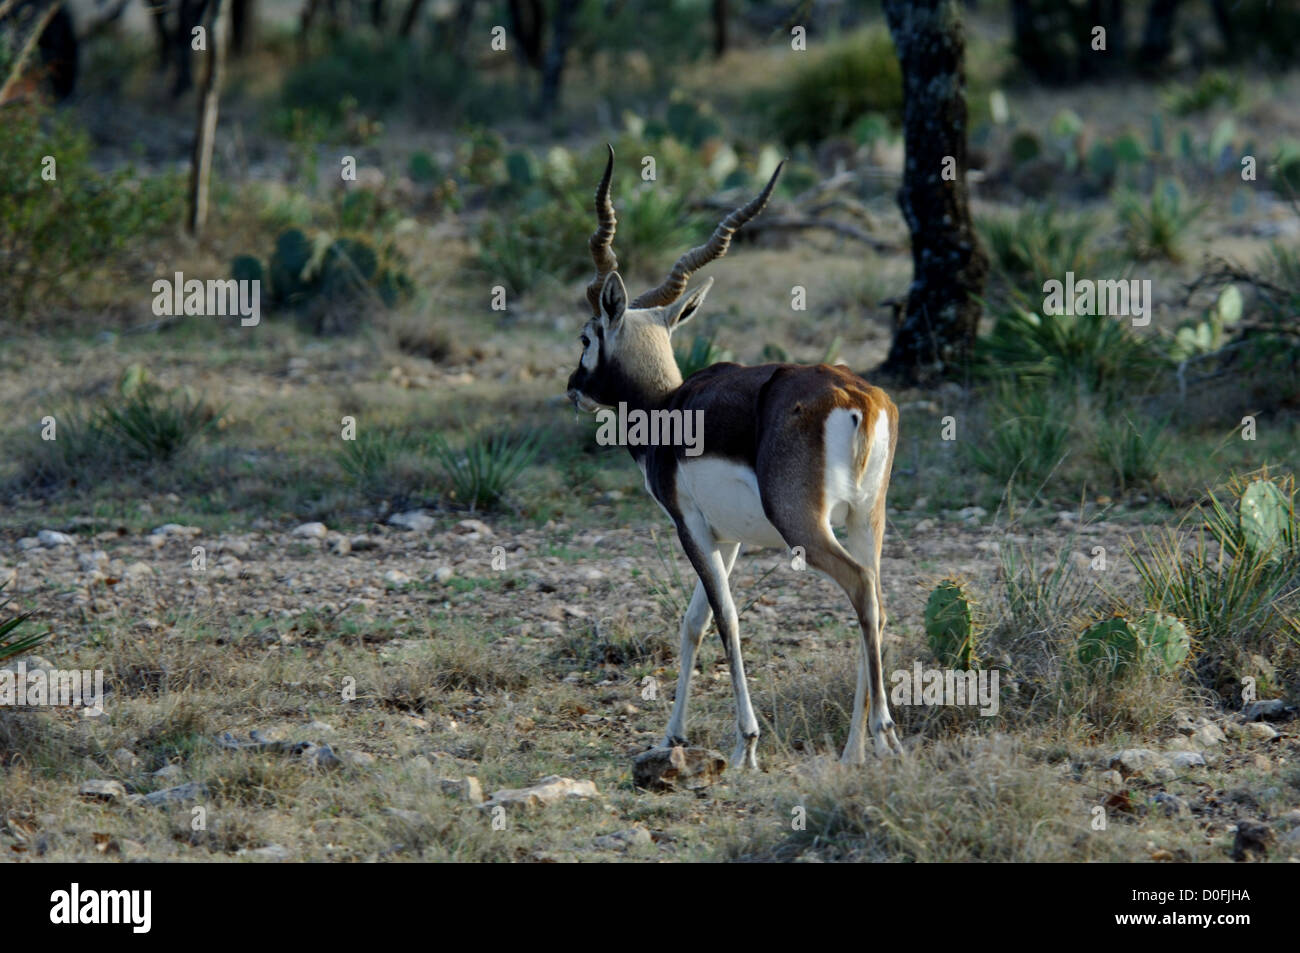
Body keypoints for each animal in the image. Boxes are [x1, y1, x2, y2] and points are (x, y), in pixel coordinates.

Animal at [566, 147, 902, 769]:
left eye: (585, 336)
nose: (572, 387)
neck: (666, 406)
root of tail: (857, 398)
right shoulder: (730, 536)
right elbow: (693, 621)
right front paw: (671, 737)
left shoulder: (689, 525)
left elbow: (726, 619)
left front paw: (745, 742)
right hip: (868, 518)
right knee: (875, 595)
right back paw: (855, 751)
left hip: (804, 526)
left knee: (859, 585)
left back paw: (883, 734)